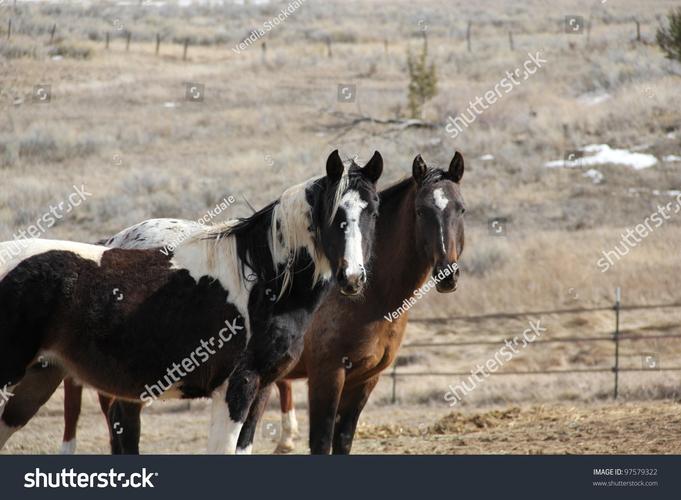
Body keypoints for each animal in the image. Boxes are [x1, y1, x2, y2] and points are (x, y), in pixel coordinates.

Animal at [0, 150, 383, 454]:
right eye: (335, 215)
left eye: (373, 212)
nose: (353, 277)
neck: (263, 281)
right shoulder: (235, 388)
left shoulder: (261, 389)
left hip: (38, 380)